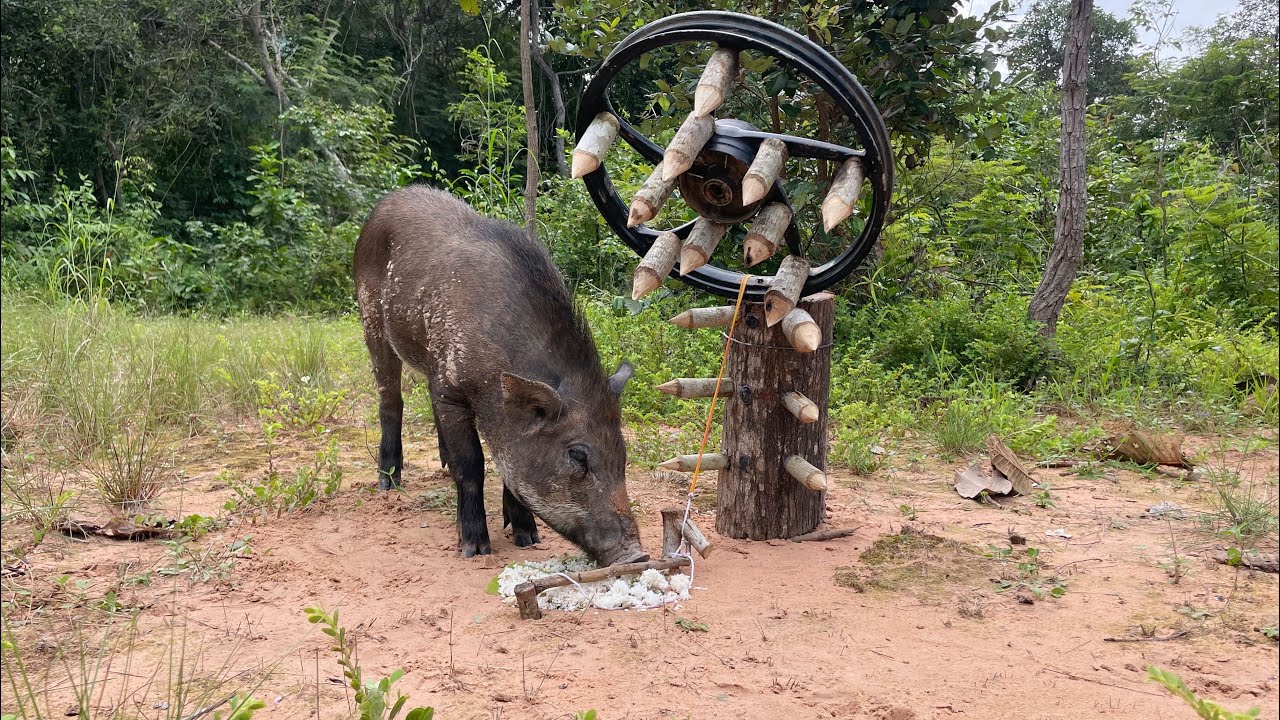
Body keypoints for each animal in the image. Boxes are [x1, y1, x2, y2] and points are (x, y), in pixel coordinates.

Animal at [353, 185, 648, 566]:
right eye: (578, 455)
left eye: (623, 451)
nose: (637, 555)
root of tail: (385, 203)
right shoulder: (451, 390)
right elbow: (471, 464)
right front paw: (475, 549)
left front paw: (528, 539)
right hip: (371, 320)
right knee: (391, 398)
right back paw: (389, 483)